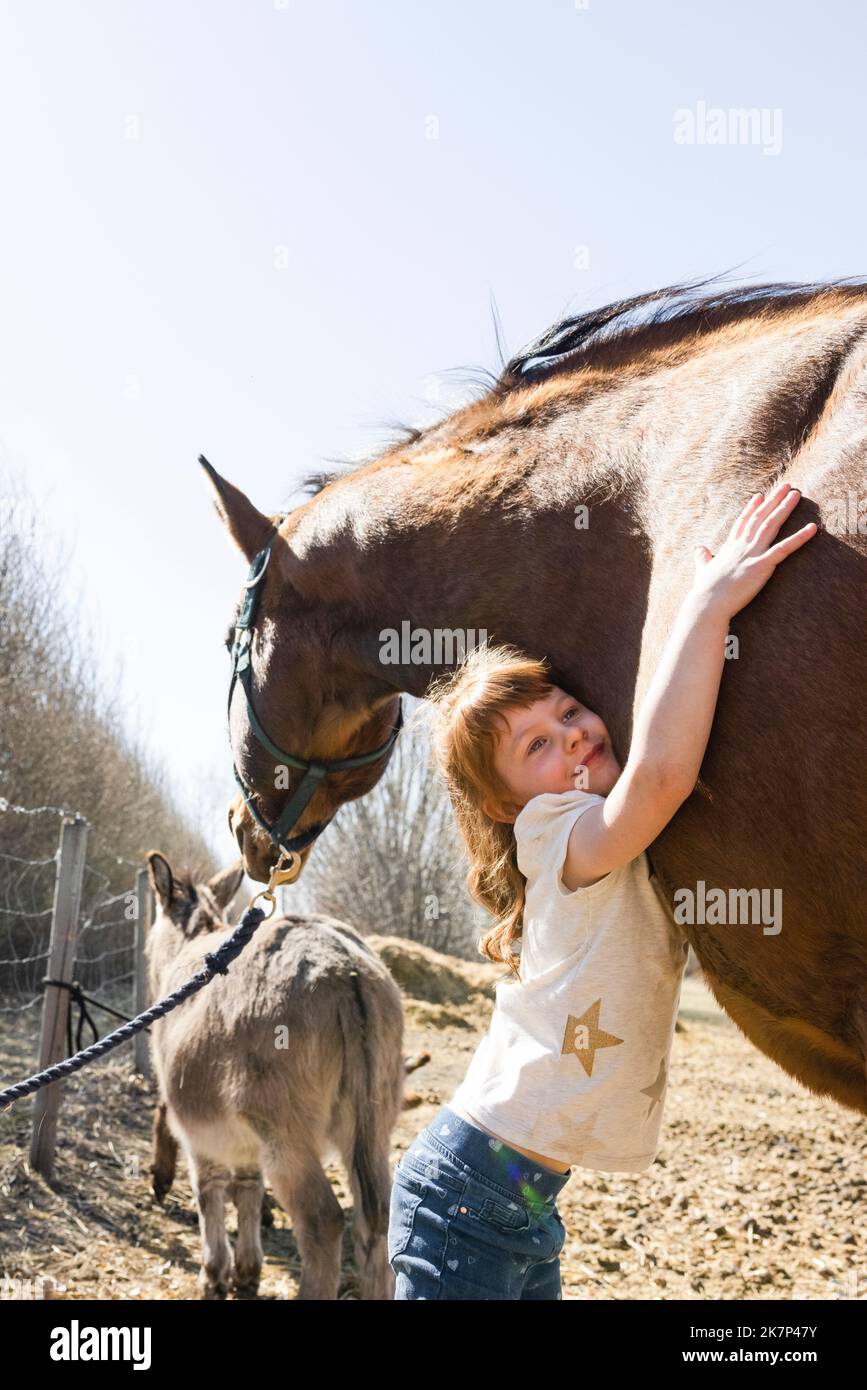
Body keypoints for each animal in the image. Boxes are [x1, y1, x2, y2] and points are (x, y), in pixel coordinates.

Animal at [145, 853, 405, 1299]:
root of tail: (345, 968)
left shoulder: (198, 1134)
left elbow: (209, 1191)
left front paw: (214, 1275)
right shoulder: (246, 1142)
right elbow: (248, 1189)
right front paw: (247, 1271)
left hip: (286, 1132)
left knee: (323, 1220)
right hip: (372, 1125)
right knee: (378, 1219)